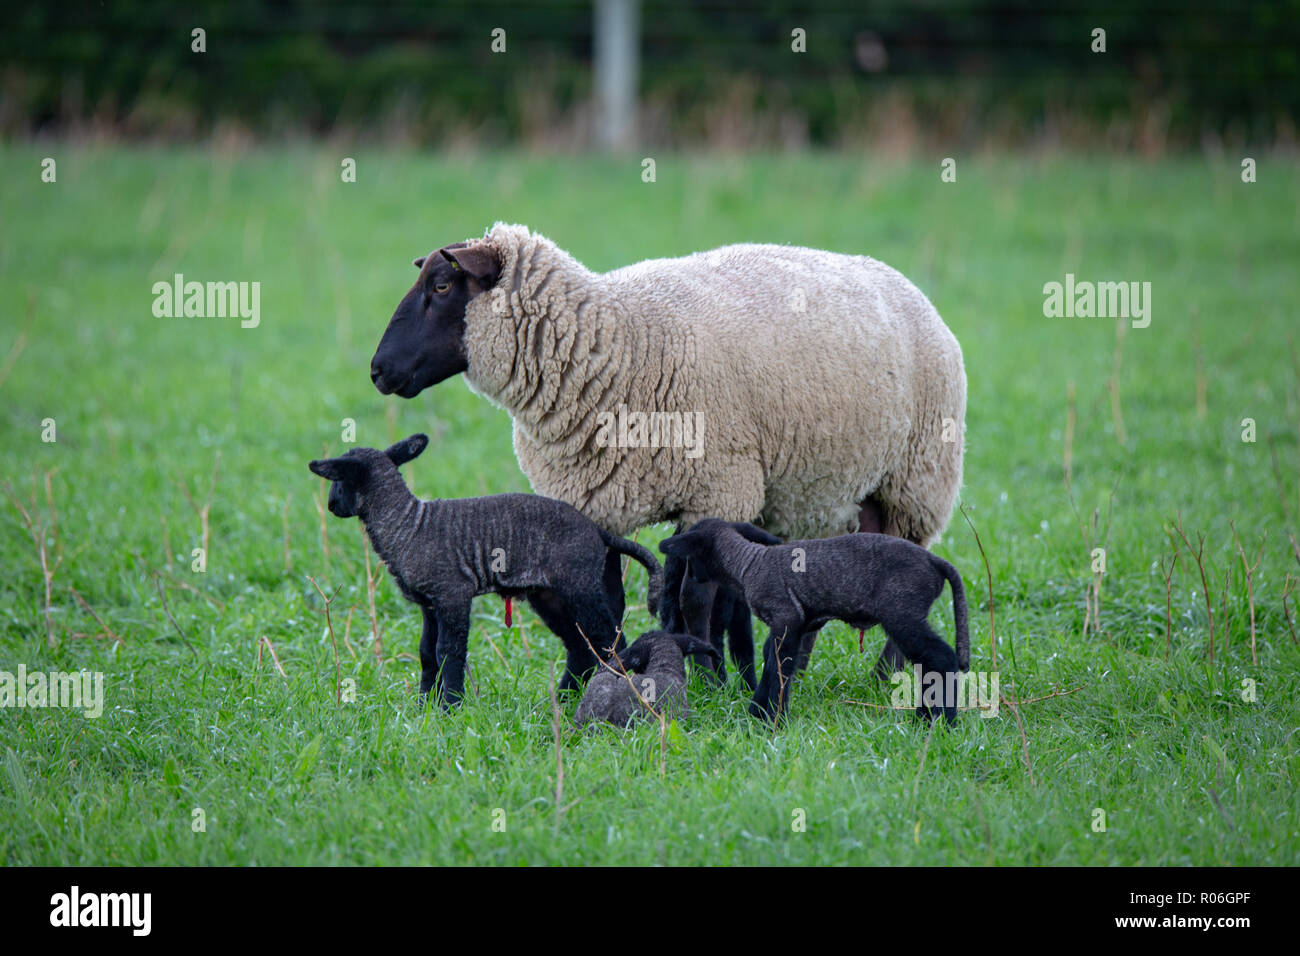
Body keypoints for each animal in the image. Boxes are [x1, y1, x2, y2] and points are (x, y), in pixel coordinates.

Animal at [307, 433, 663, 706]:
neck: (407, 523)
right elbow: (426, 653)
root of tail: (599, 532)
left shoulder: (453, 594)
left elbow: (448, 651)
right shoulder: (429, 604)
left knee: (609, 640)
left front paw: (450, 706)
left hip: (580, 584)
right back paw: (563, 699)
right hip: (549, 595)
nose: (331, 507)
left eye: (338, 480)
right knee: (579, 646)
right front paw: (424, 705)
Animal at [368, 223, 967, 680]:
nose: (377, 371)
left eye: (442, 284)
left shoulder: (716, 490)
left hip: (913, 482)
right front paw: (605, 669)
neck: (615, 347)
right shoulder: (594, 504)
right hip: (838, 495)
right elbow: (608, 597)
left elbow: (698, 598)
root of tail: (907, 286)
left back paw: (888, 673)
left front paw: (705, 677)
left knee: (903, 559)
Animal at [659, 519, 970, 724]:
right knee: (928, 664)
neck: (748, 564)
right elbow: (777, 664)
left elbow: (778, 668)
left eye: (690, 556)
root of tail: (936, 562)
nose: (693, 577)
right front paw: (764, 712)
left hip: (902, 613)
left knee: (941, 658)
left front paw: (768, 720)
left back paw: (939, 722)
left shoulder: (786, 617)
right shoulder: (796, 626)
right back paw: (927, 717)